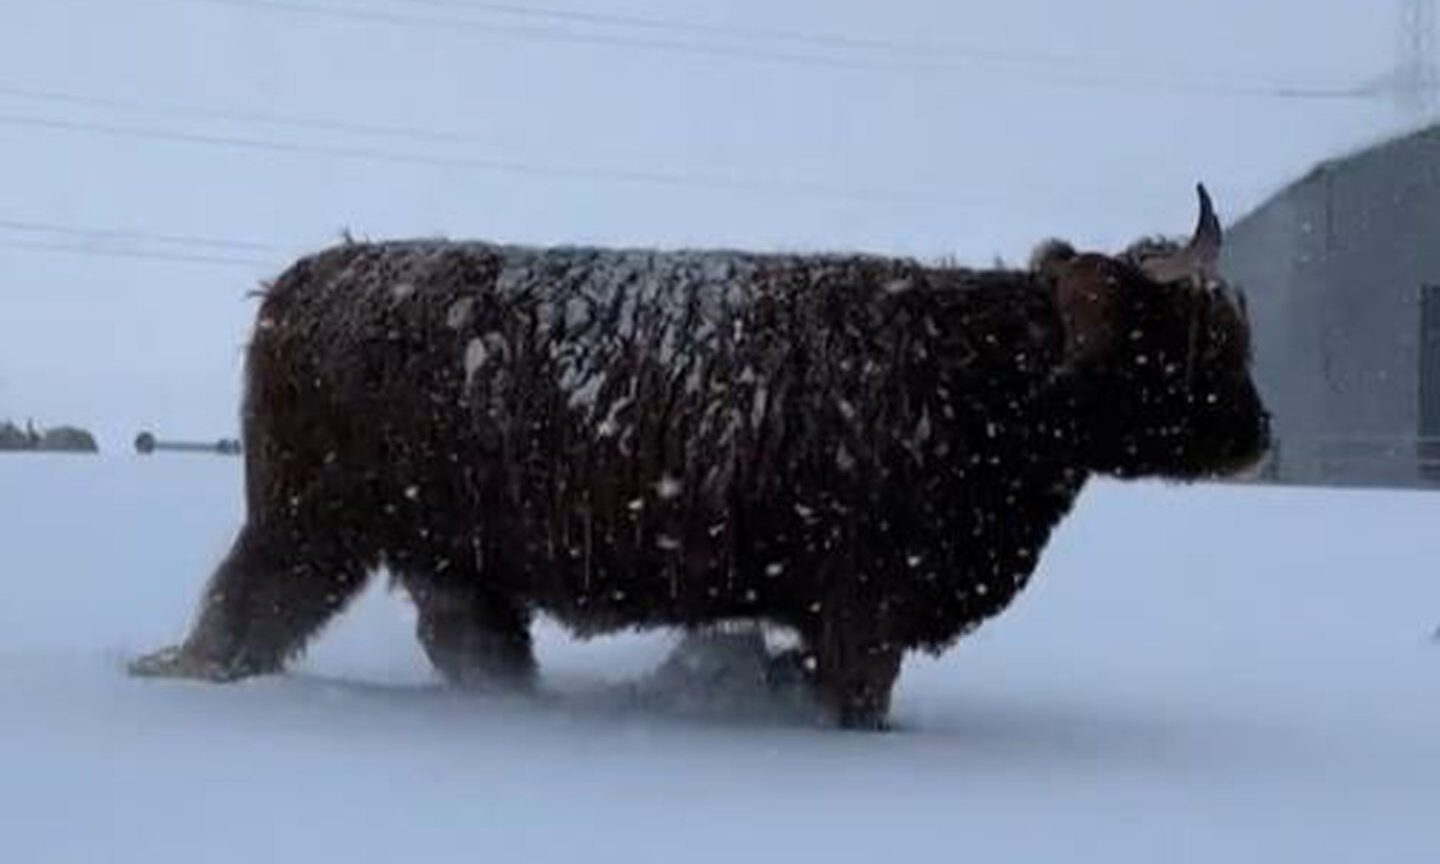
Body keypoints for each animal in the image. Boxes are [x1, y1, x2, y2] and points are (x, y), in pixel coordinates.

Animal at [131, 184, 1269, 729]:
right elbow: (857, 703)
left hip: (446, 555)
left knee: (472, 647)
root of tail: (310, 275)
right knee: (243, 614)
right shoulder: (867, 602)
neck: (986, 377)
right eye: (1186, 341)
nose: (1263, 437)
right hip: (308, 525)